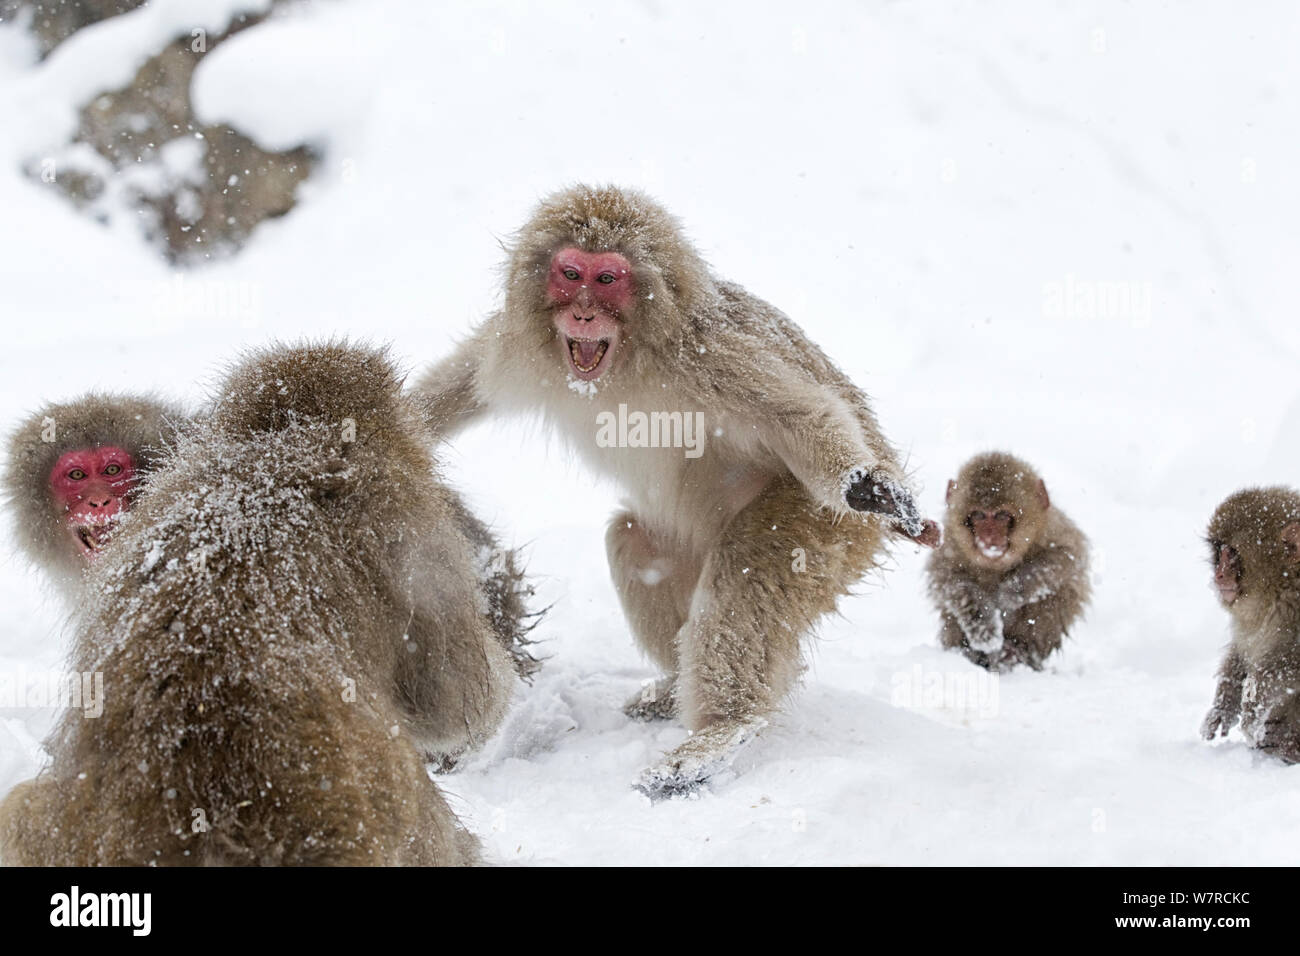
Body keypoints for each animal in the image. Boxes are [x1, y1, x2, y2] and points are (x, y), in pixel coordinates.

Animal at [413, 184, 939, 796]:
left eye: (606, 279)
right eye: (569, 273)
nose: (583, 311)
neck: (624, 362)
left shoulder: (711, 355)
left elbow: (799, 415)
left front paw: (871, 488)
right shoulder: (515, 346)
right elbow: (459, 386)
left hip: (822, 524)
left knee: (746, 572)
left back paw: (721, 731)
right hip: (694, 540)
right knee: (635, 543)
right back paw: (673, 688)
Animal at [926, 452, 1090, 671]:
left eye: (1002, 515)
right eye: (978, 515)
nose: (989, 537)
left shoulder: (1053, 529)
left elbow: (1067, 558)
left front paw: (1012, 591)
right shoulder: (949, 544)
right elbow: (947, 579)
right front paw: (983, 627)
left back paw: (1015, 653)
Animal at [1200, 487, 1300, 763]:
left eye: (1232, 553)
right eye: (1220, 550)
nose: (1219, 575)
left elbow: (1286, 666)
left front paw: (1253, 702)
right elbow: (1241, 652)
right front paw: (1223, 704)